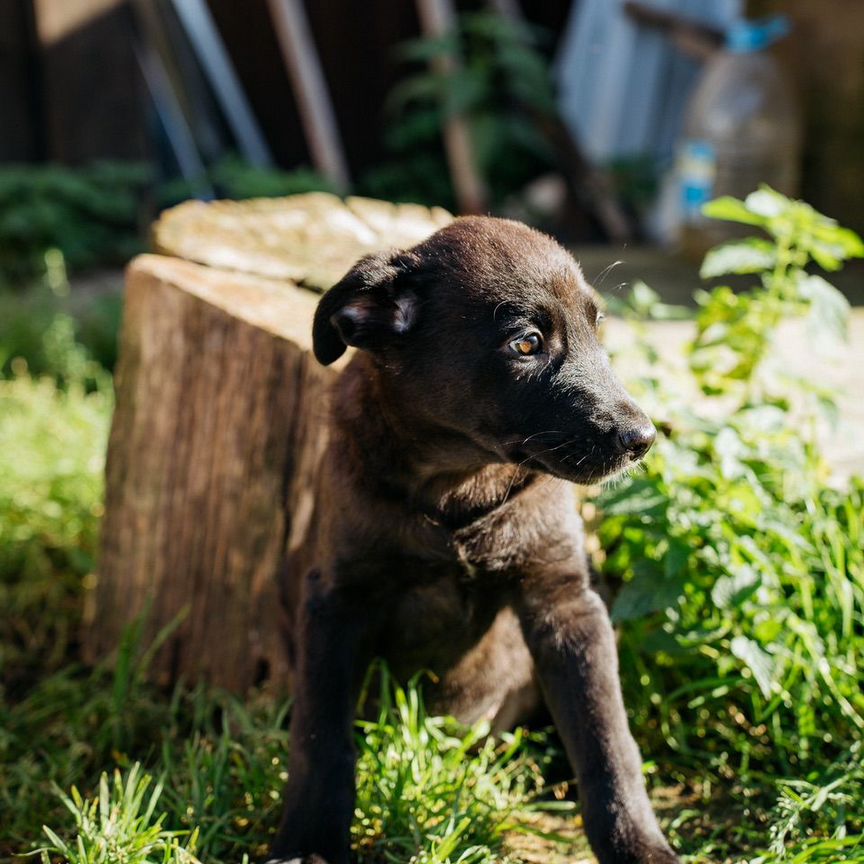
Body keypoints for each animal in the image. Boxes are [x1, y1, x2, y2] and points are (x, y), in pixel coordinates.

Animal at [274, 218, 680, 864]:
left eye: (597, 328)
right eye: (526, 344)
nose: (641, 438)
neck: (458, 484)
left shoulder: (565, 601)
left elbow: (606, 736)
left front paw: (637, 845)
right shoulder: (336, 599)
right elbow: (320, 737)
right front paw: (310, 842)